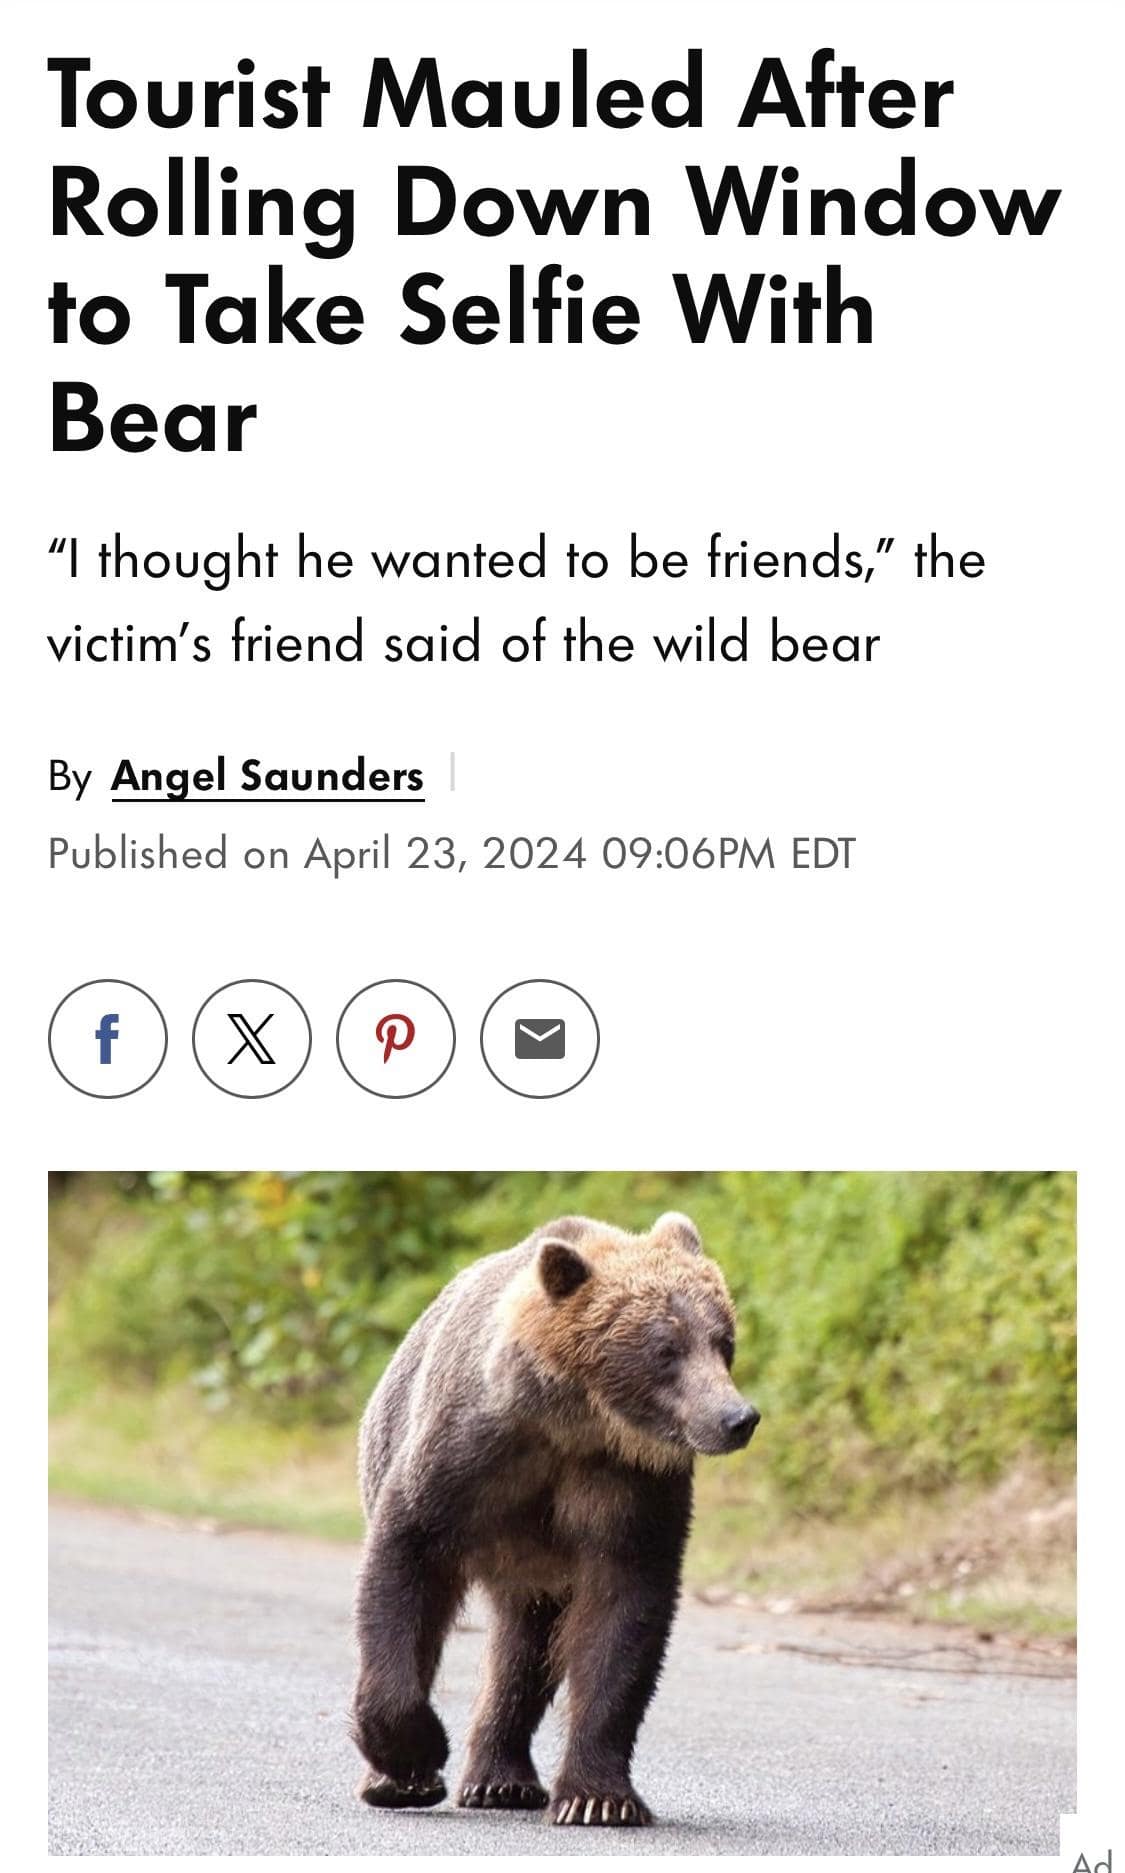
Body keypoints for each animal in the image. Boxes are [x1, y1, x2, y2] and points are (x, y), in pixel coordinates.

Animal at [351, 1211, 759, 1827]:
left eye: (723, 1341)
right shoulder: (463, 1456)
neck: (570, 1422)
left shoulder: (628, 1486)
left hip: (536, 1574)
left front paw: (598, 1798)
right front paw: (414, 1759)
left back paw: (501, 1780)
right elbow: (404, 1562)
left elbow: (623, 1616)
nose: (737, 1417)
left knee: (525, 1652)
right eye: (666, 1347)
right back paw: (406, 1780)